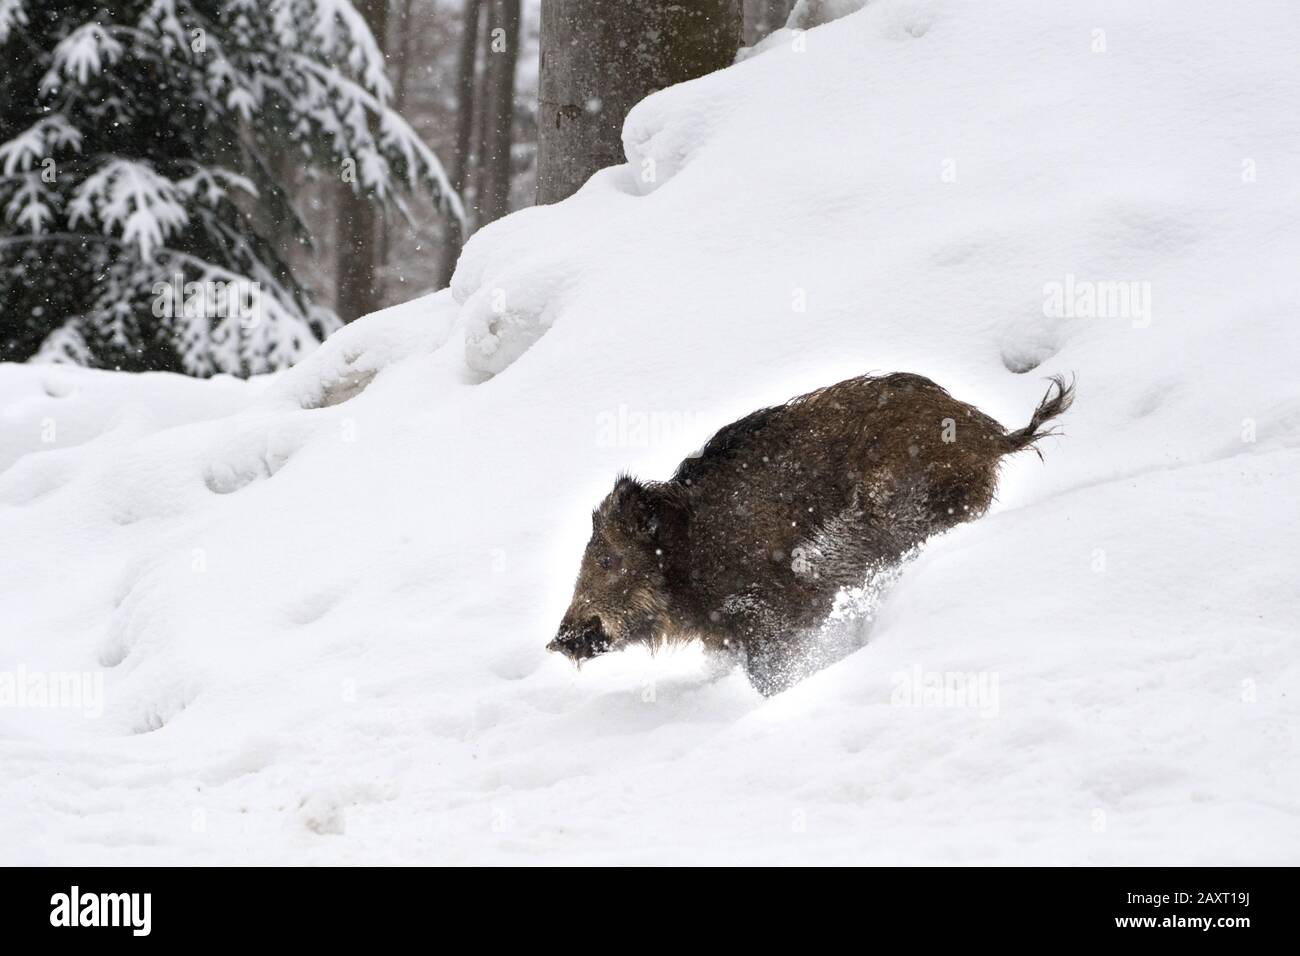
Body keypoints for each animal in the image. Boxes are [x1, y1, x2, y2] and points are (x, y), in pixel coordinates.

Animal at [549, 372, 1074, 695]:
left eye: (608, 559)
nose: (559, 640)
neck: (686, 551)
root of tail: (988, 434)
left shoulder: (762, 611)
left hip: (892, 503)